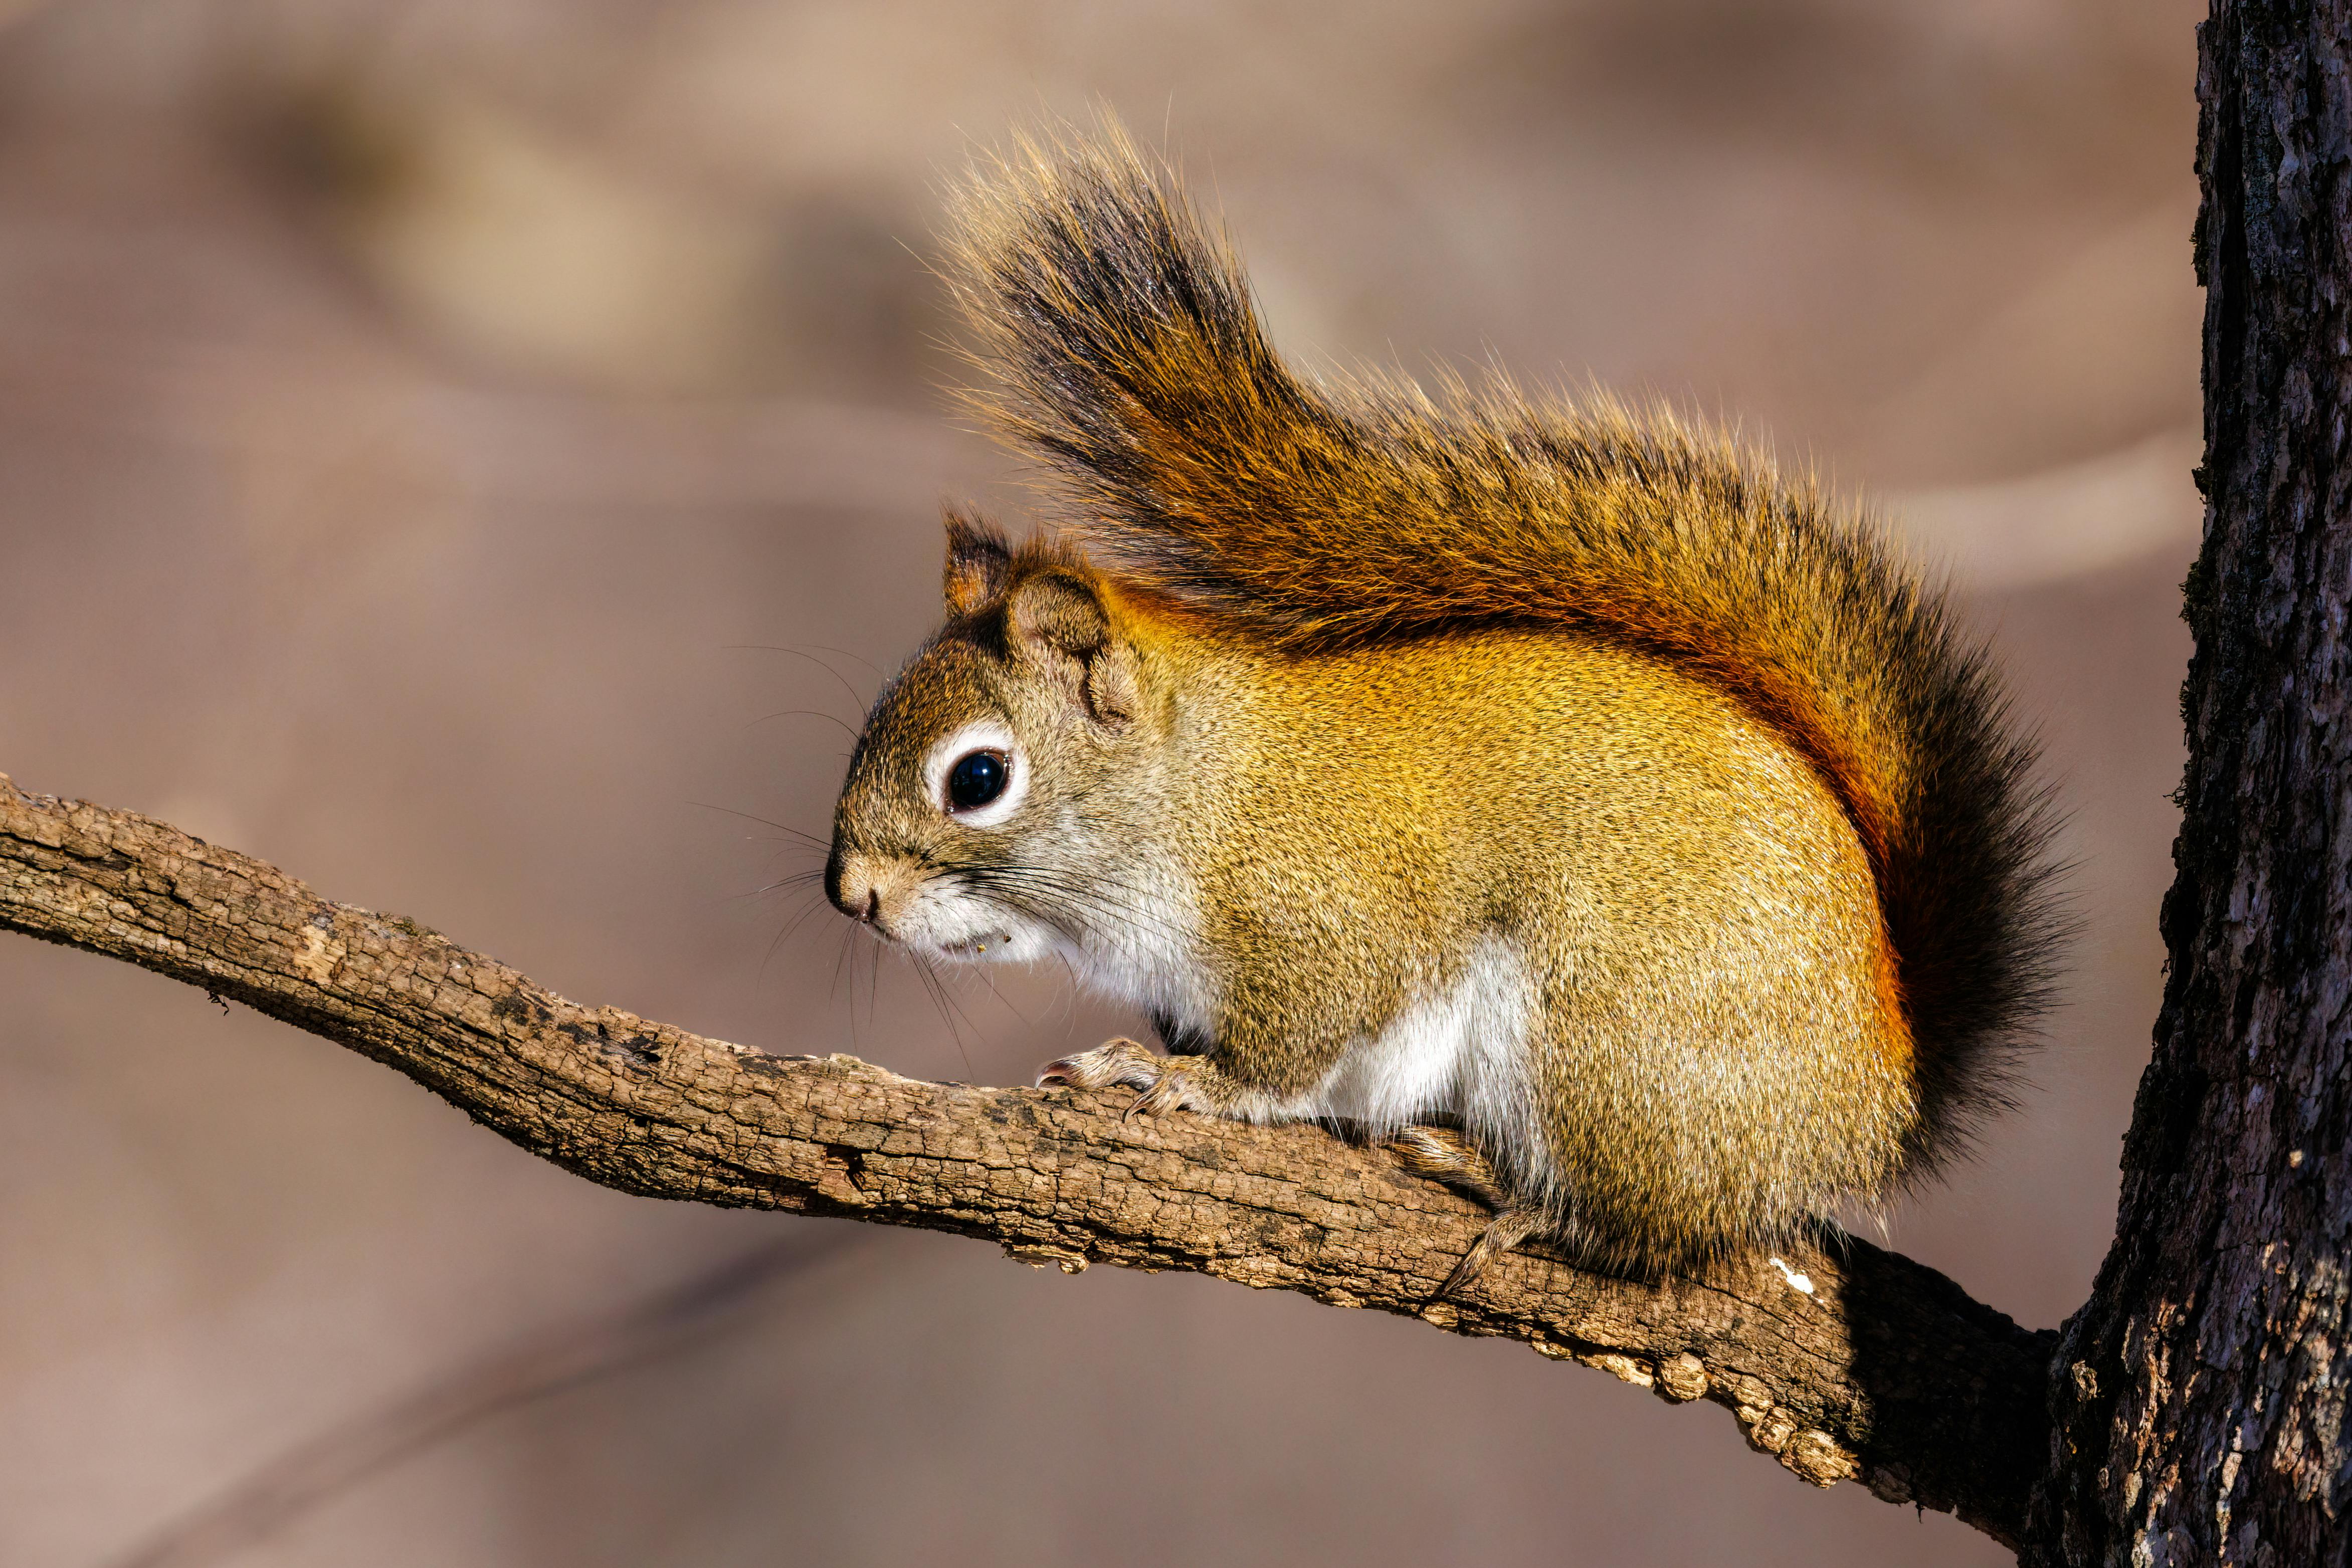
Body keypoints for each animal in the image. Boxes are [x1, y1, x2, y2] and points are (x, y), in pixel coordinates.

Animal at [822, 123, 2061, 1289]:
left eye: (978, 778)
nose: (852, 896)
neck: (1197, 791)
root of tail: (1880, 1096)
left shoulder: (1323, 924)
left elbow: (1288, 1052)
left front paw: (1184, 1080)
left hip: (1599, 1048)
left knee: (1649, 1230)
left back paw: (1504, 1188)